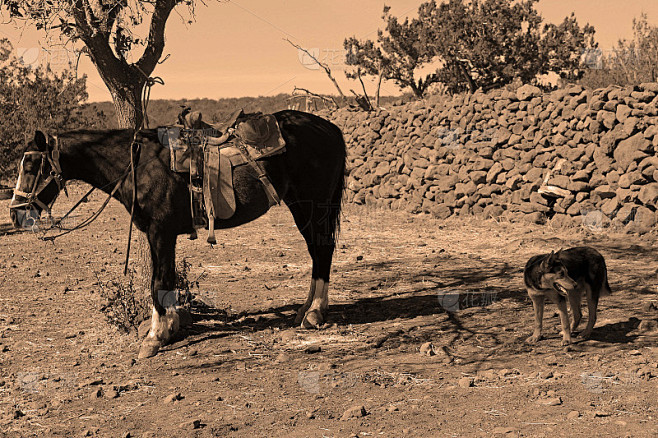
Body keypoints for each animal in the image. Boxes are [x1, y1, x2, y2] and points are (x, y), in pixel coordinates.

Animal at [9, 110, 346, 358]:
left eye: (32, 164)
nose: (15, 213)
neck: (138, 165)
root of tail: (331, 129)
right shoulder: (159, 234)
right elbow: (165, 277)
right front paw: (169, 328)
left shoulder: (161, 231)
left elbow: (158, 281)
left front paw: (155, 336)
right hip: (300, 206)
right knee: (317, 251)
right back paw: (306, 308)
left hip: (313, 205)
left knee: (322, 249)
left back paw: (315, 312)